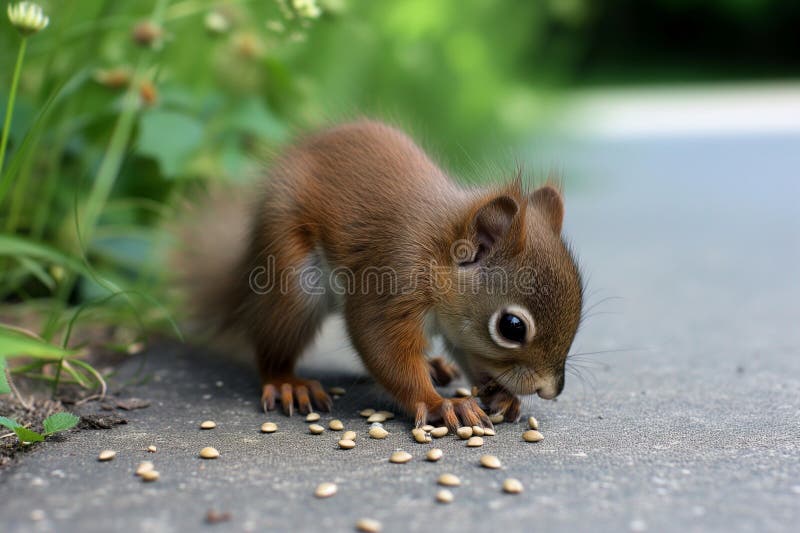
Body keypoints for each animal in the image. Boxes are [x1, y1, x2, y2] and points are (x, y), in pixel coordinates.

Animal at [177, 119, 583, 429]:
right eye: (512, 327)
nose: (552, 390)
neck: (434, 252)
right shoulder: (393, 279)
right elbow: (382, 346)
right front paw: (441, 405)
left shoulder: (461, 331)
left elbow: (473, 358)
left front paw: (501, 395)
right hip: (291, 282)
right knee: (272, 343)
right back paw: (288, 383)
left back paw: (435, 365)